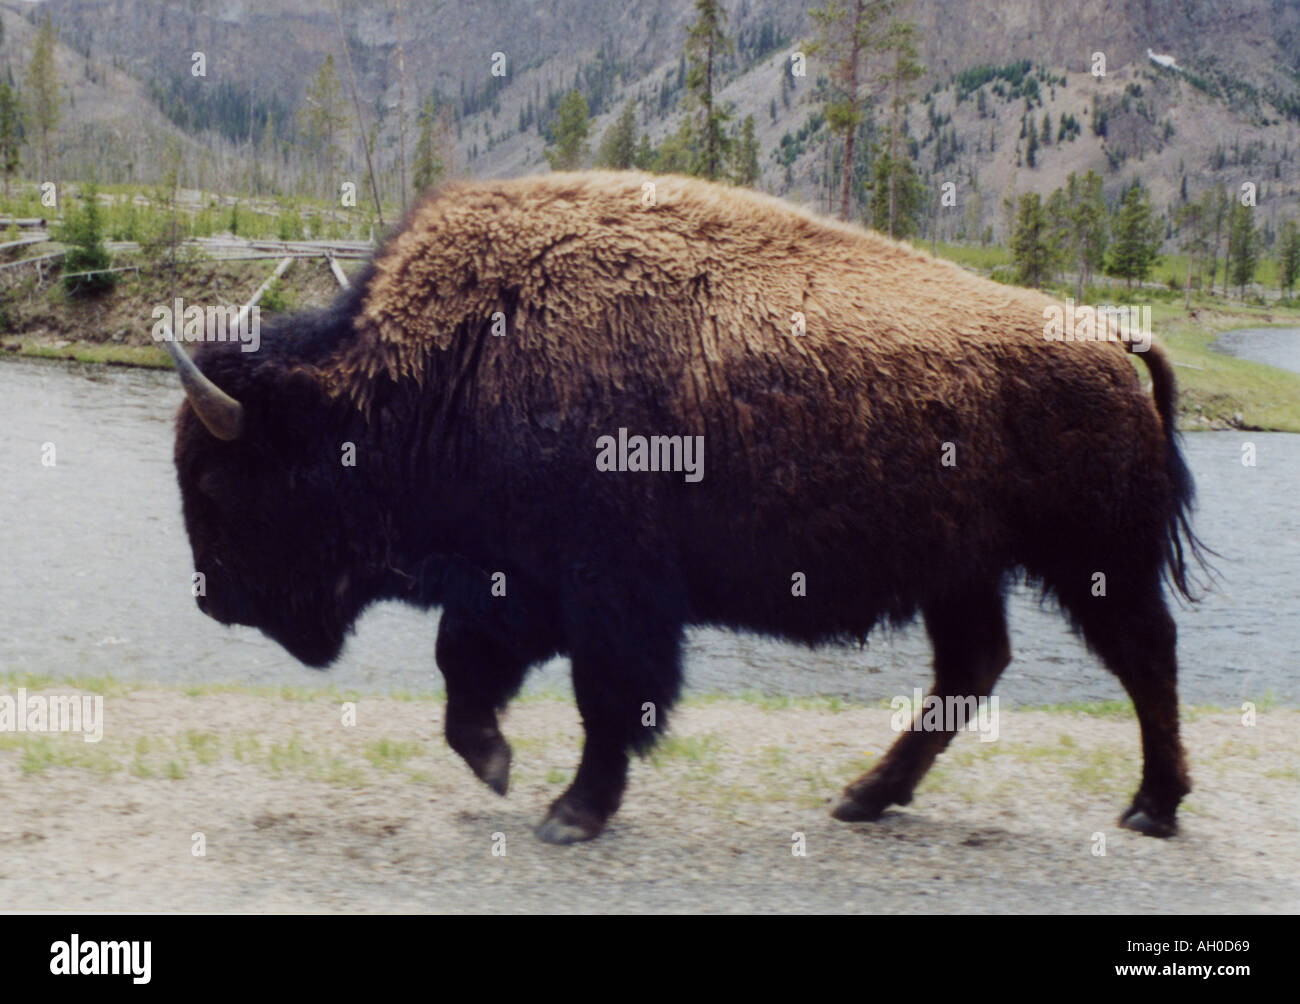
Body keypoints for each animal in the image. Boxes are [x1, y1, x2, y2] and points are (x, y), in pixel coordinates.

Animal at [168, 172, 1207, 843]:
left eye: (221, 484)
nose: (211, 600)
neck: (449, 362)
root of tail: (1110, 339)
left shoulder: (607, 595)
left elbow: (605, 699)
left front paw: (571, 814)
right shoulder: (515, 585)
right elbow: (465, 675)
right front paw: (499, 769)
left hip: (1092, 563)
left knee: (1145, 660)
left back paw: (1151, 808)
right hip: (962, 573)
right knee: (974, 668)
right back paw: (864, 798)